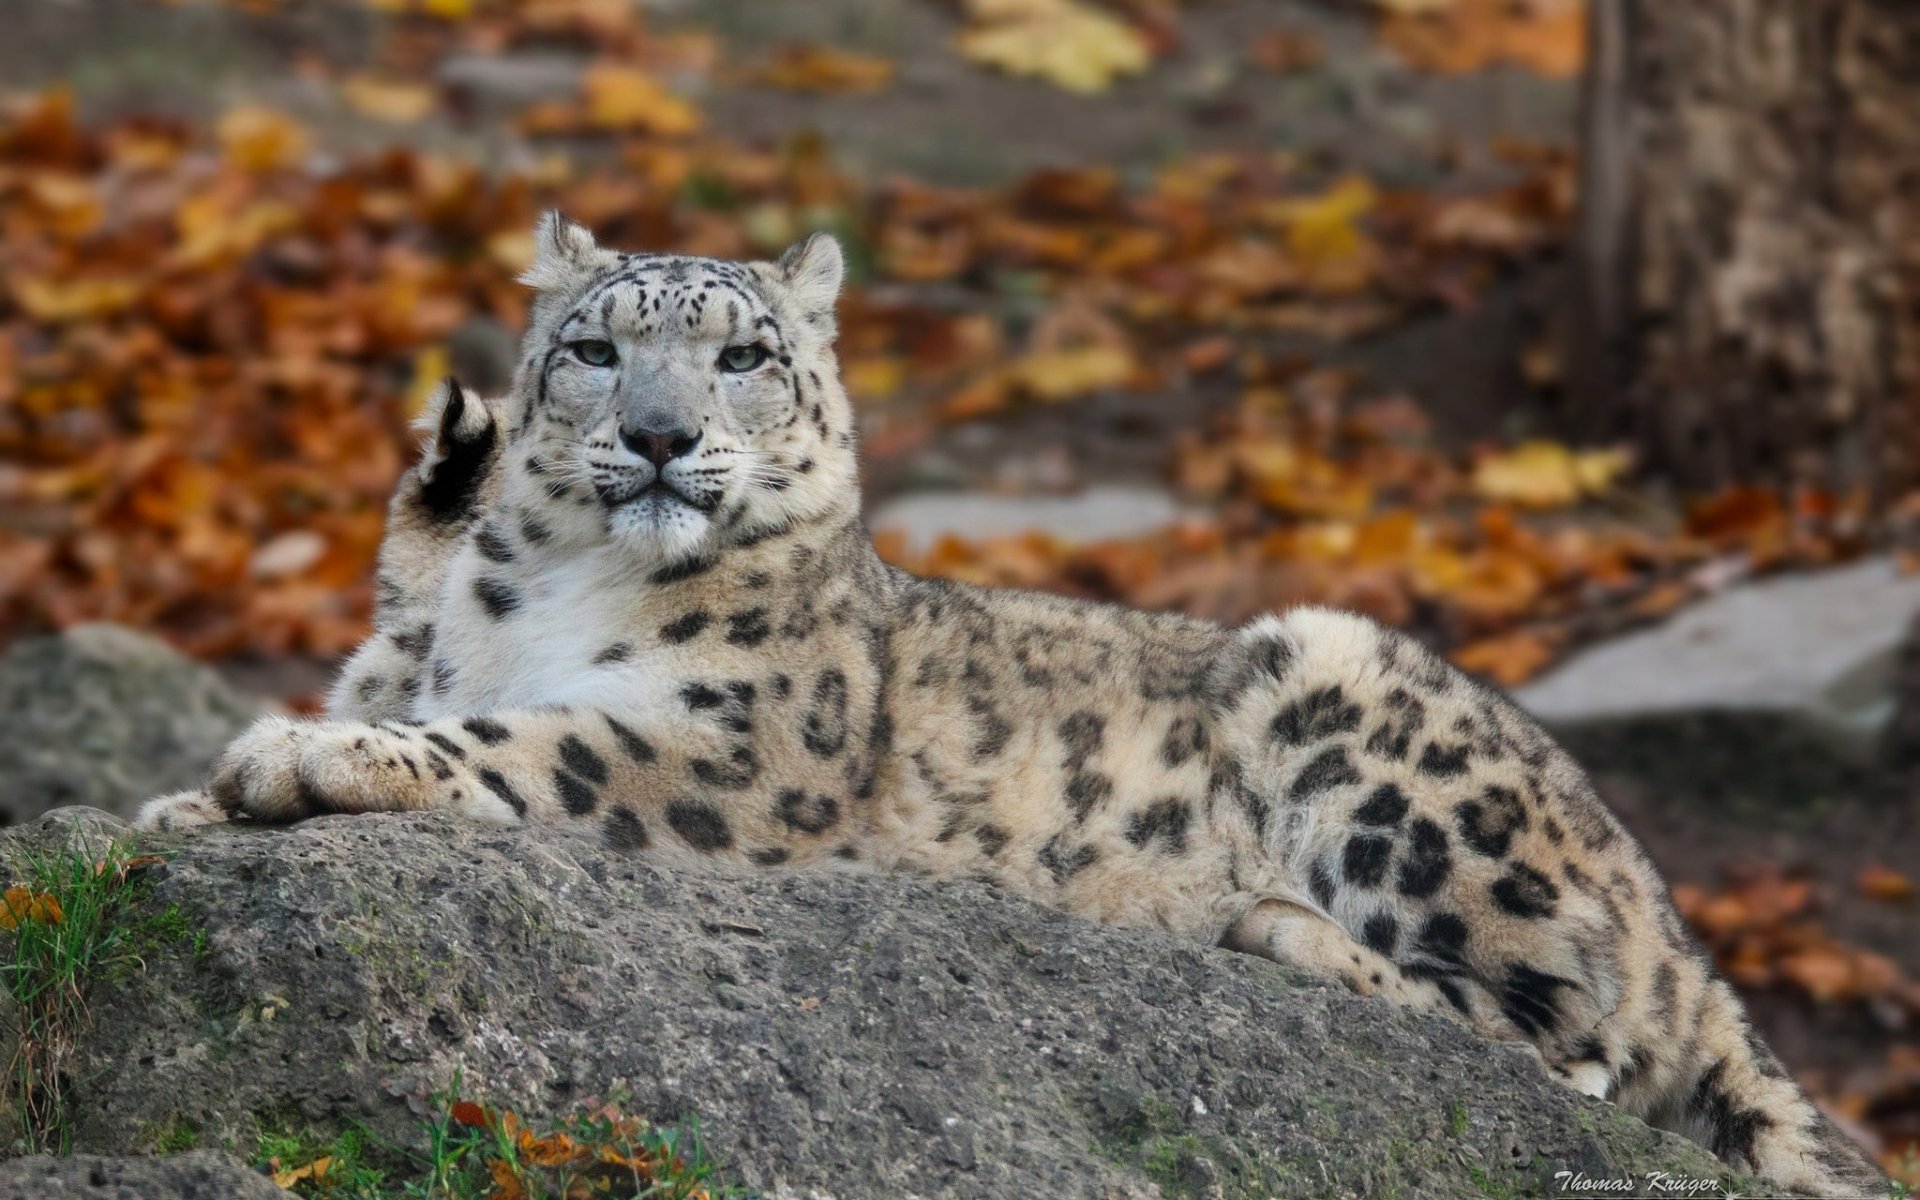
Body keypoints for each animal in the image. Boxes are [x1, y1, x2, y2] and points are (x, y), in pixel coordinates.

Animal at [139, 213, 1889, 1198]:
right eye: (594, 348)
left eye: (743, 354)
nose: (656, 437)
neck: (543, 591)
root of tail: (1662, 901)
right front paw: (179, 797)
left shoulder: (728, 748)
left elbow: (510, 743)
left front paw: (285, 756)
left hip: (1359, 710)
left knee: (1560, 1047)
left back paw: (1263, 922)